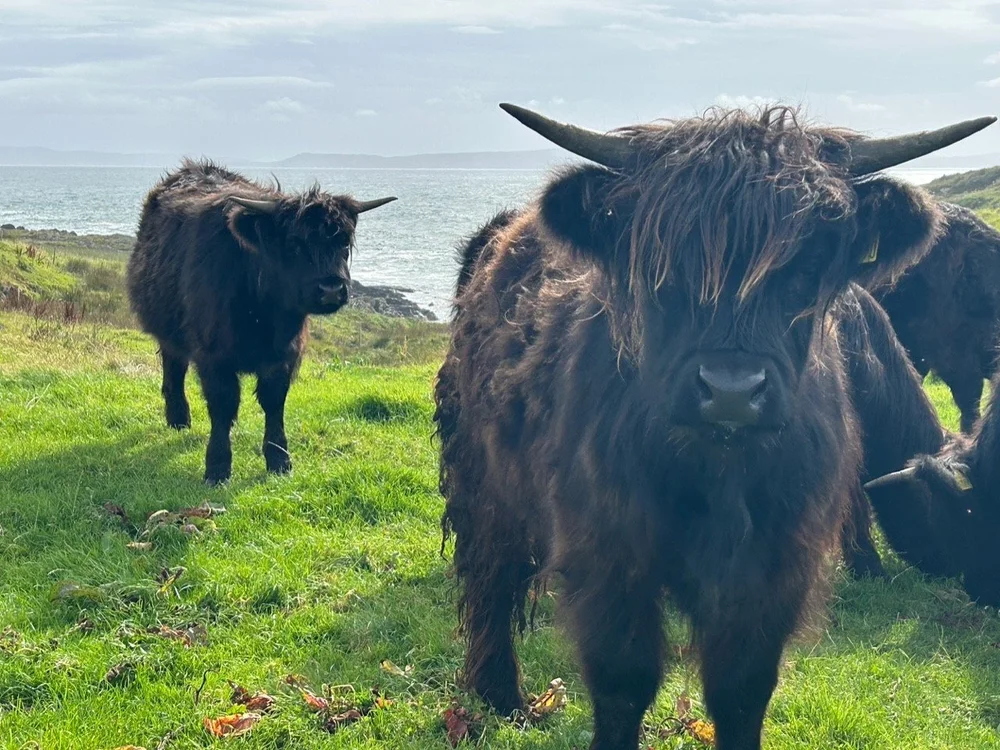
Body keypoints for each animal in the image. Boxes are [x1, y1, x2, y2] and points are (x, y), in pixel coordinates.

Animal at [126, 159, 395, 484]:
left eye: (344, 243)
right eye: (293, 244)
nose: (331, 289)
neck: (263, 313)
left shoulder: (284, 354)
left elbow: (274, 402)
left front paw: (279, 460)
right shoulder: (213, 355)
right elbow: (223, 405)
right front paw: (217, 467)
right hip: (167, 329)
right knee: (173, 367)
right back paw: (178, 419)